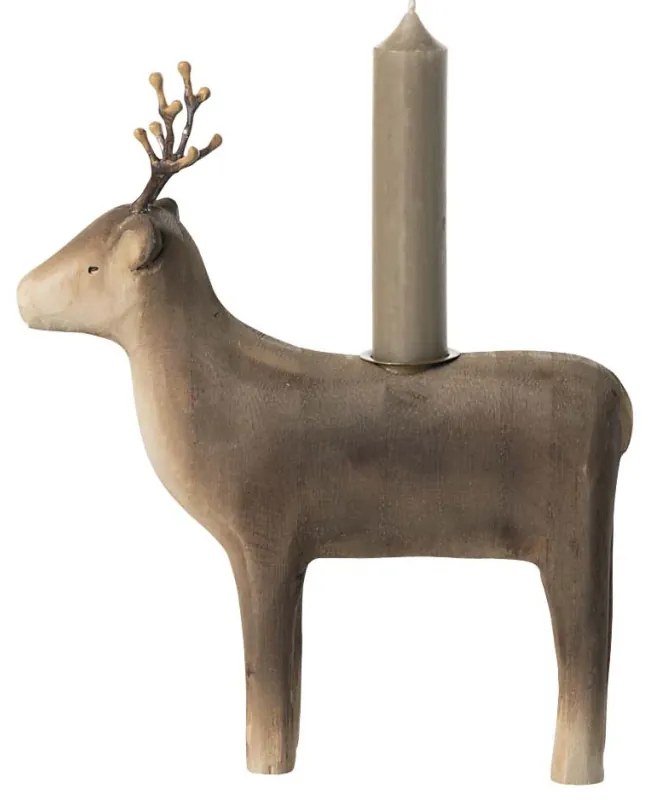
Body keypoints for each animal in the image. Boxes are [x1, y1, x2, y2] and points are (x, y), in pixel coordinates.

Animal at [17, 61, 632, 785]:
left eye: (90, 263)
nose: (21, 294)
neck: (207, 400)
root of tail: (622, 407)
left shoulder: (266, 533)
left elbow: (264, 674)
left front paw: (264, 767)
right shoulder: (291, 550)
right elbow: (291, 674)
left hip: (571, 537)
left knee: (588, 650)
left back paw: (572, 772)